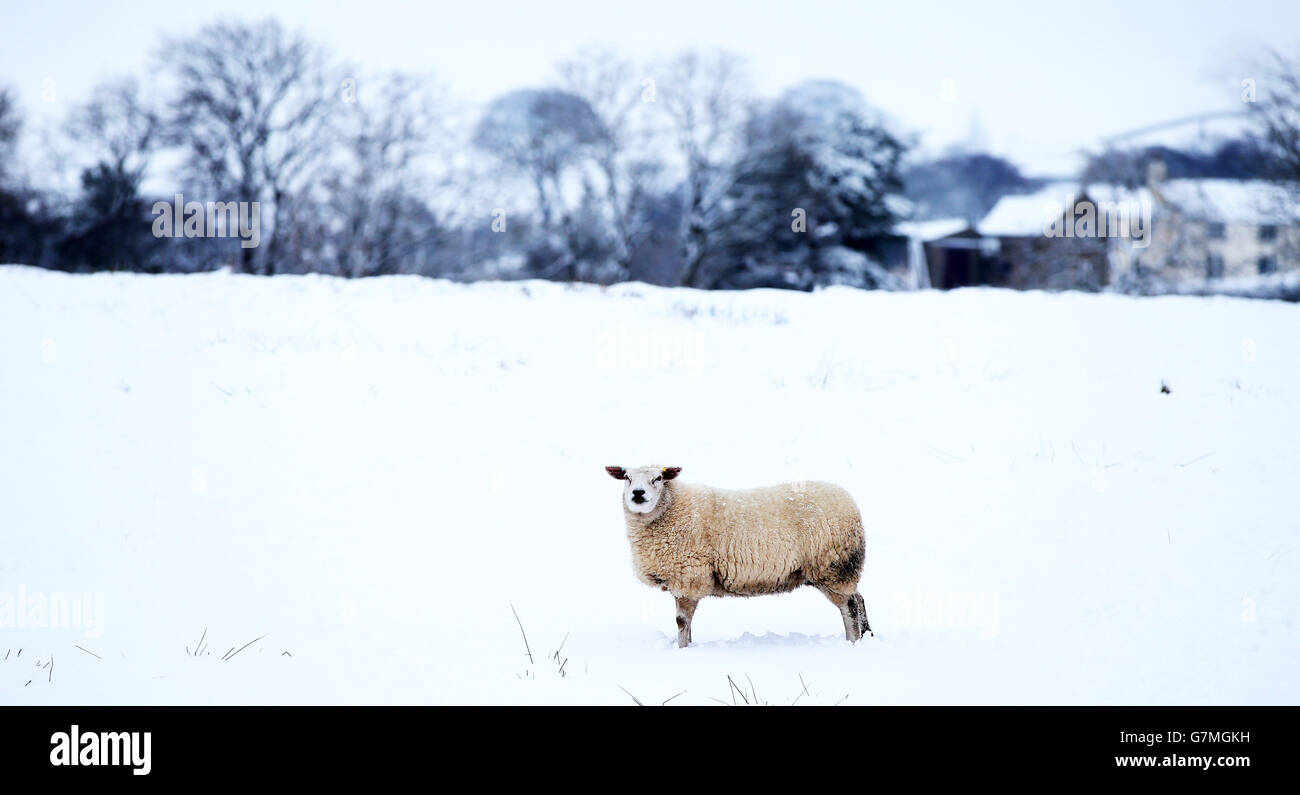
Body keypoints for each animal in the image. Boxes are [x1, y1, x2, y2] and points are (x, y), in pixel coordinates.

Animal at [605, 464, 872, 647]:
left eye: (658, 478)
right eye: (627, 477)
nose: (638, 493)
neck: (671, 511)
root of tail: (849, 501)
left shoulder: (689, 575)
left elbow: (681, 620)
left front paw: (682, 649)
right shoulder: (683, 581)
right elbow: (686, 621)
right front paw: (687, 645)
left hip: (833, 567)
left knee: (849, 606)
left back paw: (852, 642)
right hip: (842, 569)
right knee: (858, 599)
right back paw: (867, 636)